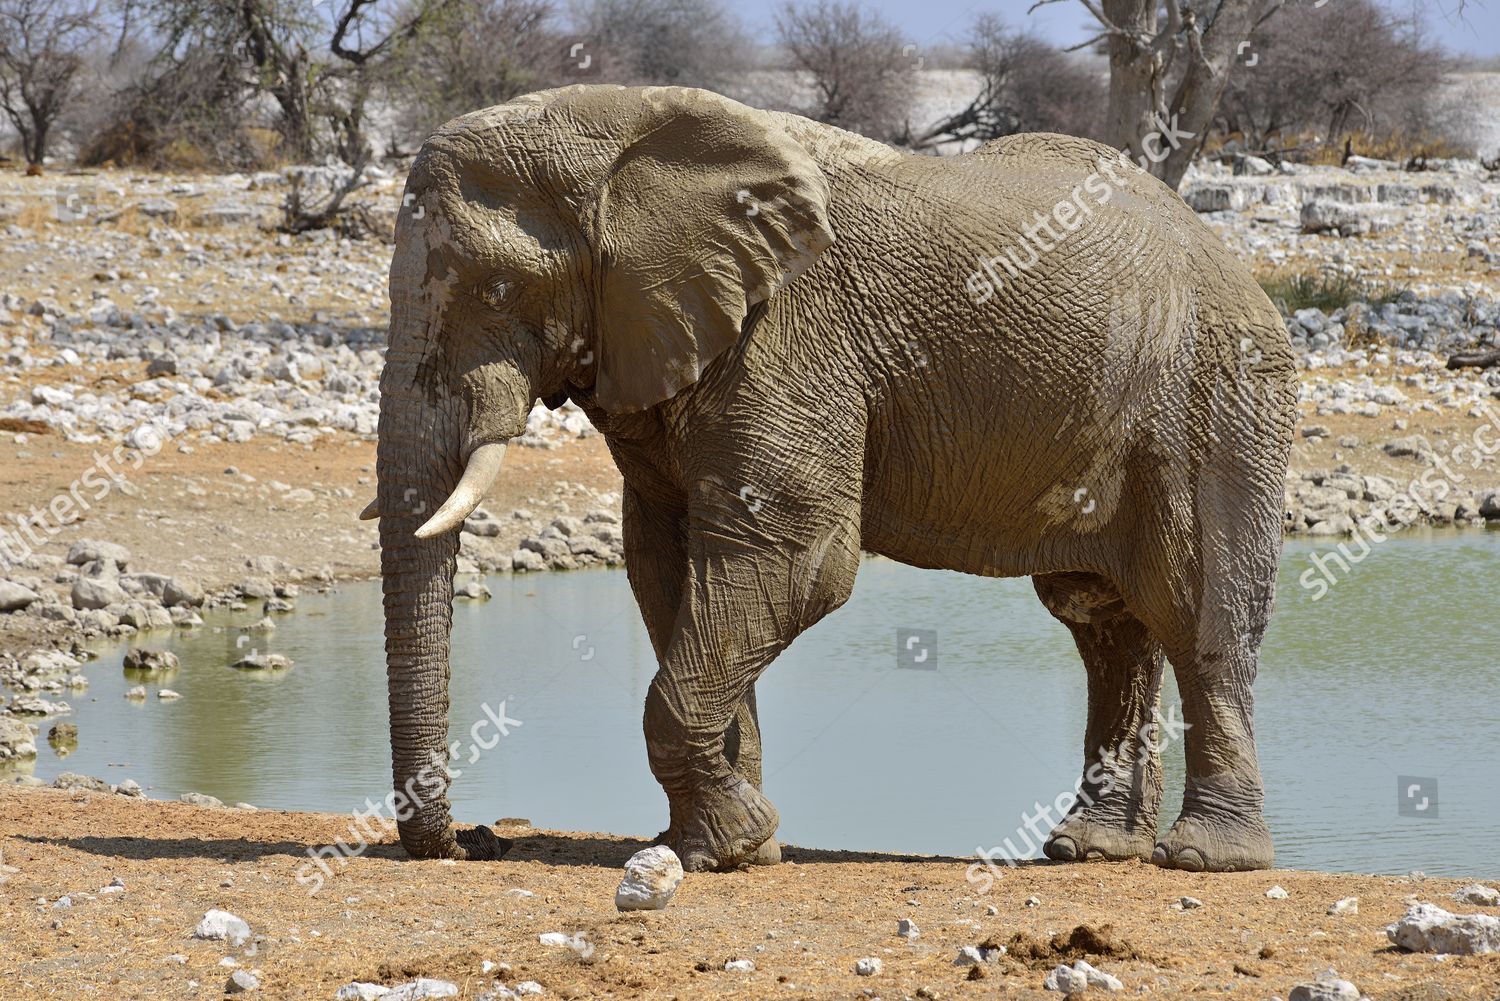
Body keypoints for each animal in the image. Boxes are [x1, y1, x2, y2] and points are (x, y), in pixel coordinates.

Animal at [366, 83, 1296, 874]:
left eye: (496, 287)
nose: (471, 841)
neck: (623, 126)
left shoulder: (787, 335)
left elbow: (792, 556)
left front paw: (731, 841)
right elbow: (669, 566)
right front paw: (733, 845)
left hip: (1216, 396)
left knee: (1194, 612)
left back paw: (1207, 857)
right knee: (1103, 621)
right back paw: (1091, 848)